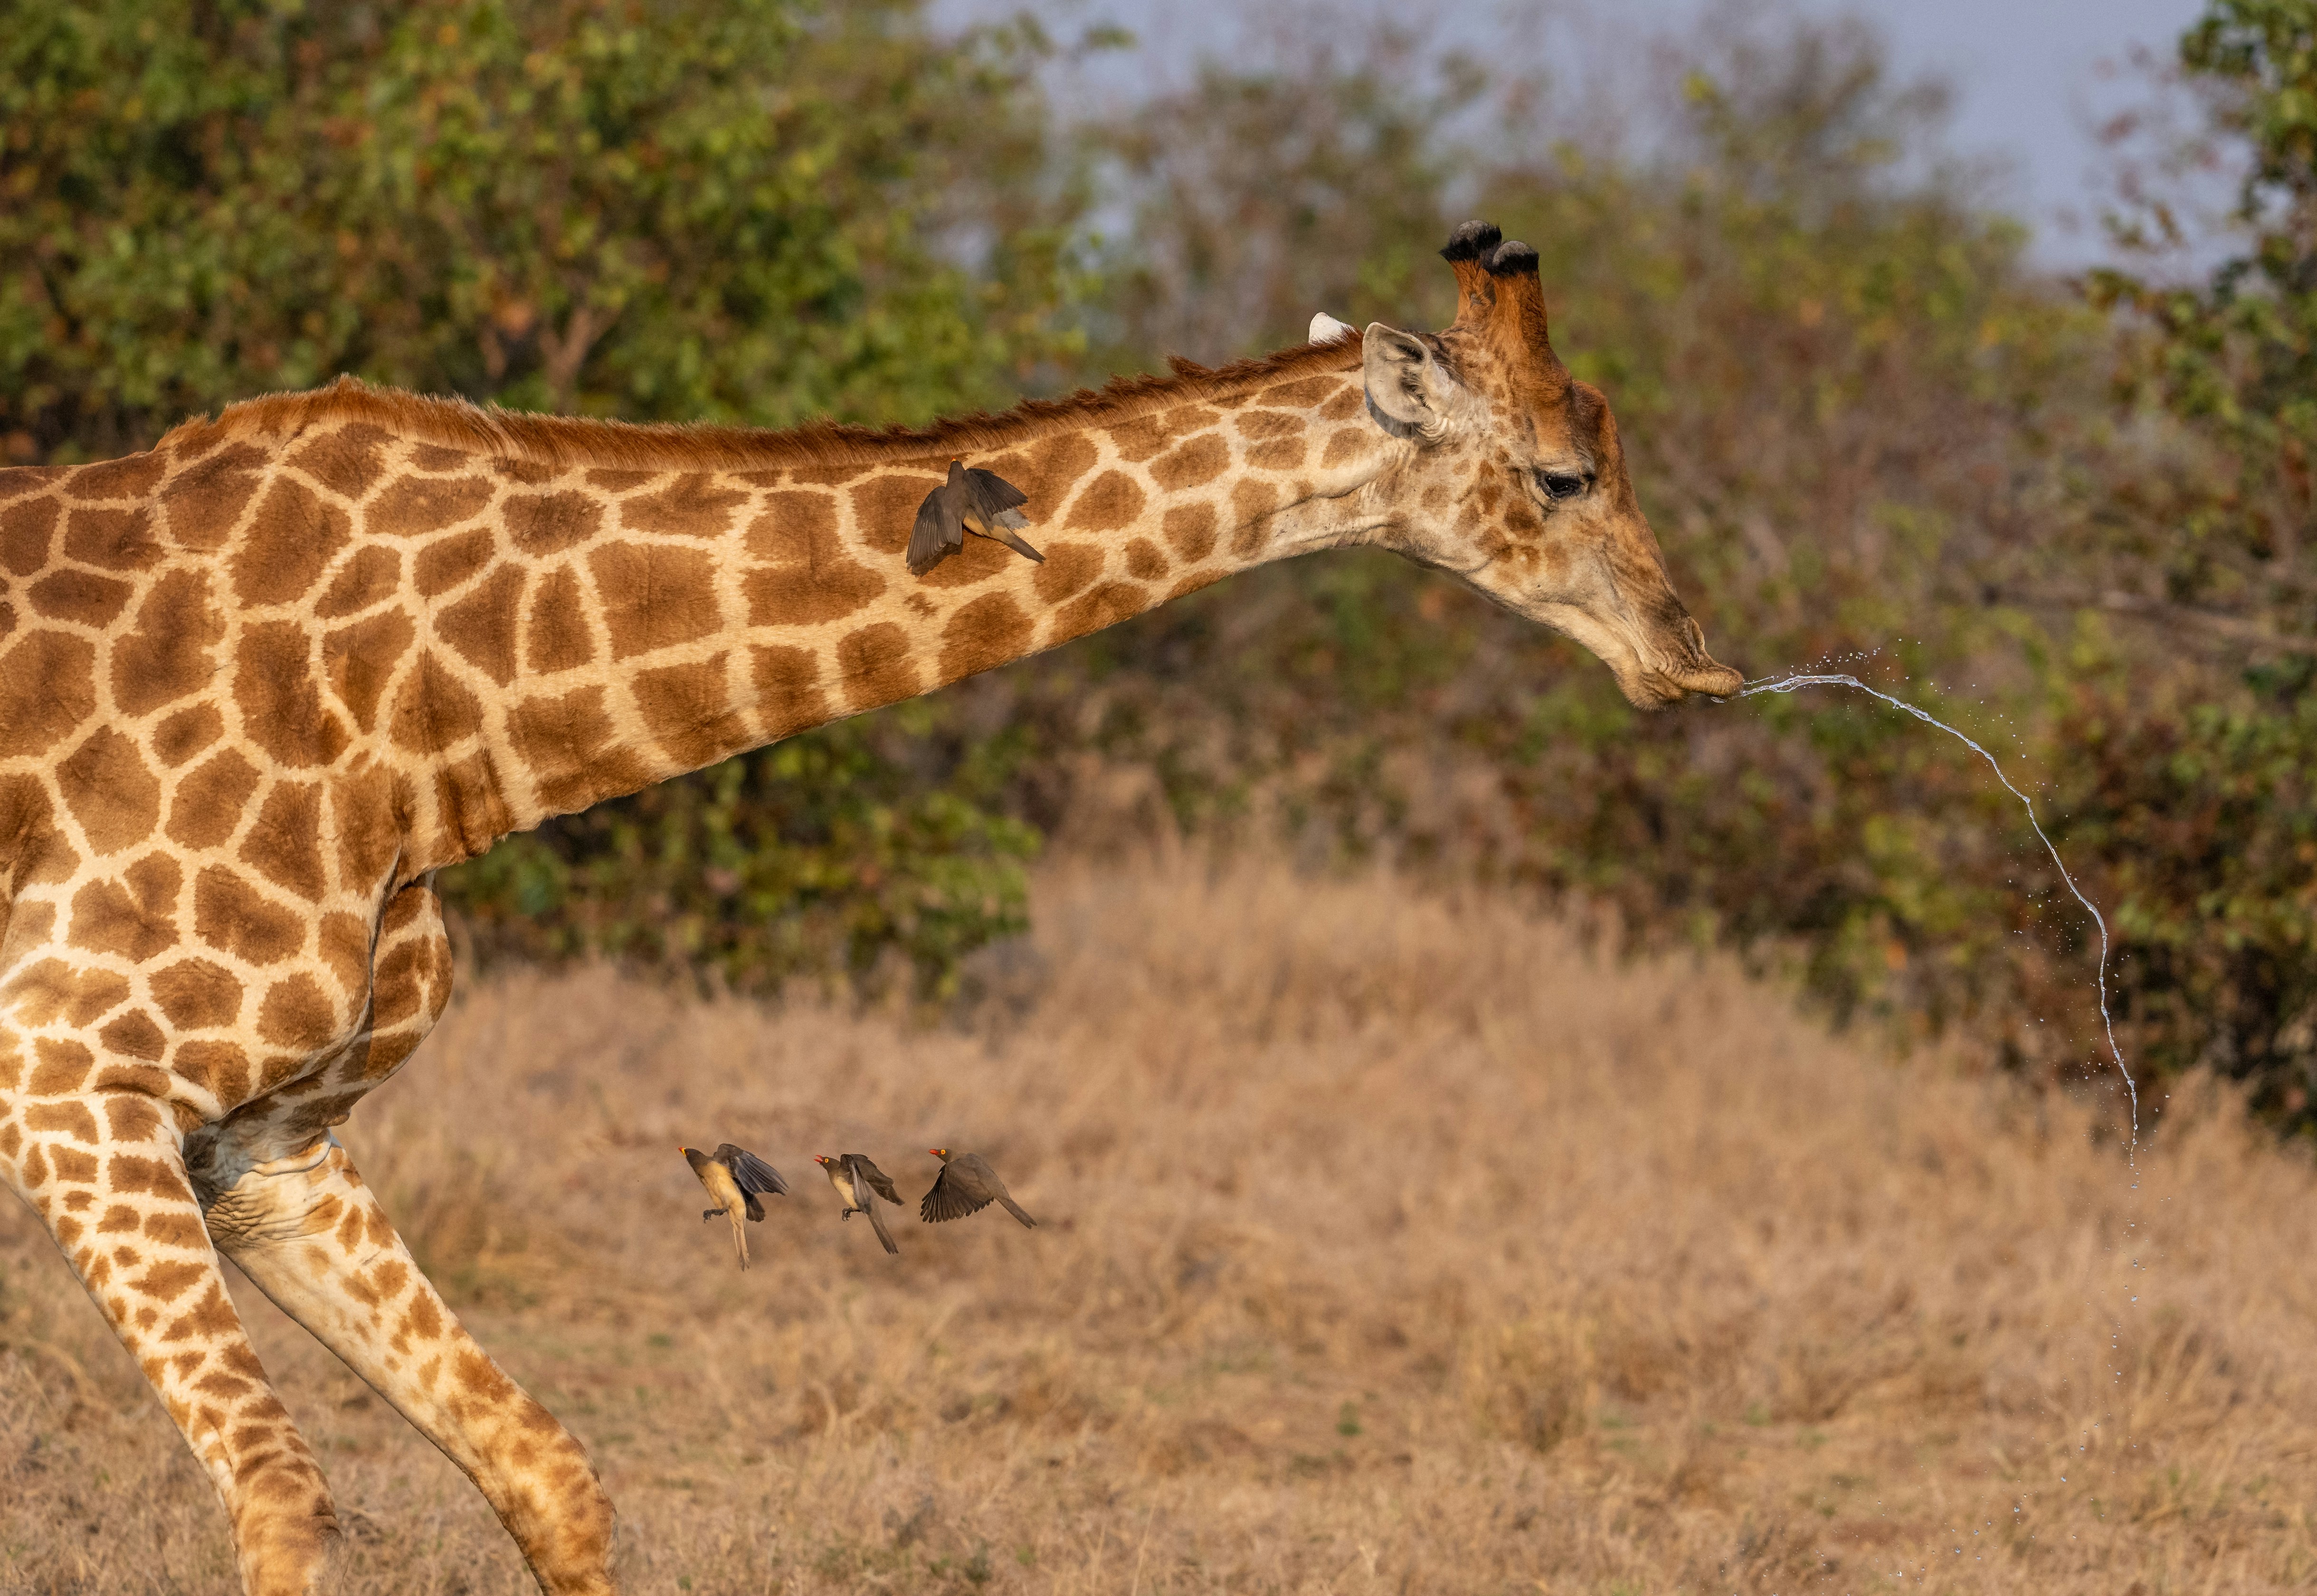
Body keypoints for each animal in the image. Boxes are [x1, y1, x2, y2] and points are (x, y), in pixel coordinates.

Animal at [0, 221, 1737, 1594]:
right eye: (1561, 473)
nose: (1688, 655)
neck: (441, 720)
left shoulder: (270, 1143)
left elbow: (547, 1472)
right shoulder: (70, 1082)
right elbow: (285, 1504)